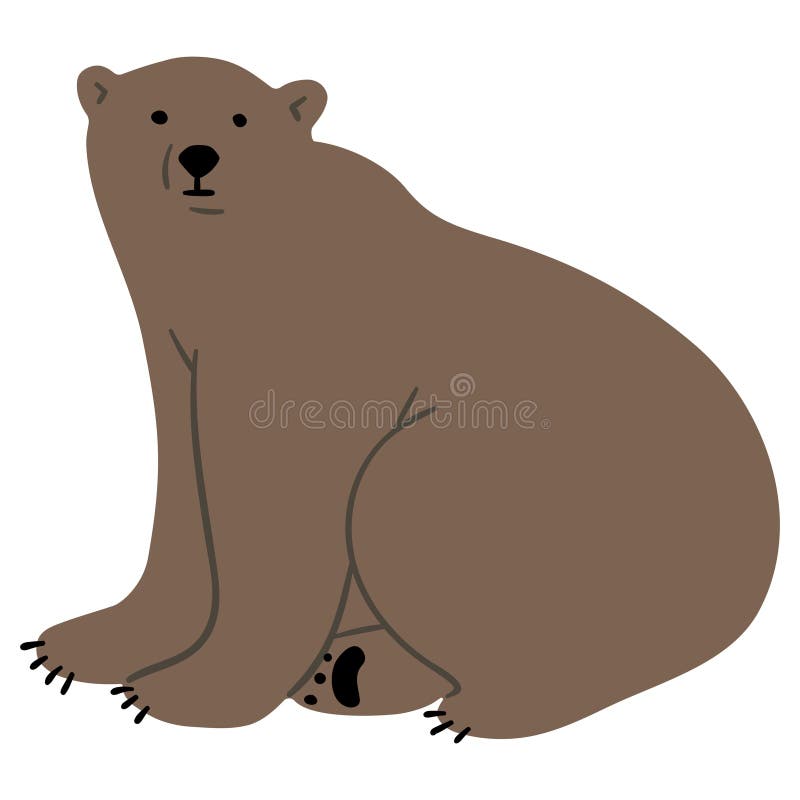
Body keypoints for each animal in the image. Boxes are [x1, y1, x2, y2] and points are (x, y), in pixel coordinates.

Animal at [22, 57, 778, 740]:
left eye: (240, 120)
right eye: (157, 115)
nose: (199, 158)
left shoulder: (315, 347)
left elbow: (282, 504)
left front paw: (181, 691)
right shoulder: (179, 344)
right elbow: (188, 489)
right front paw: (80, 644)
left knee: (406, 491)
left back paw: (468, 701)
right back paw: (346, 671)